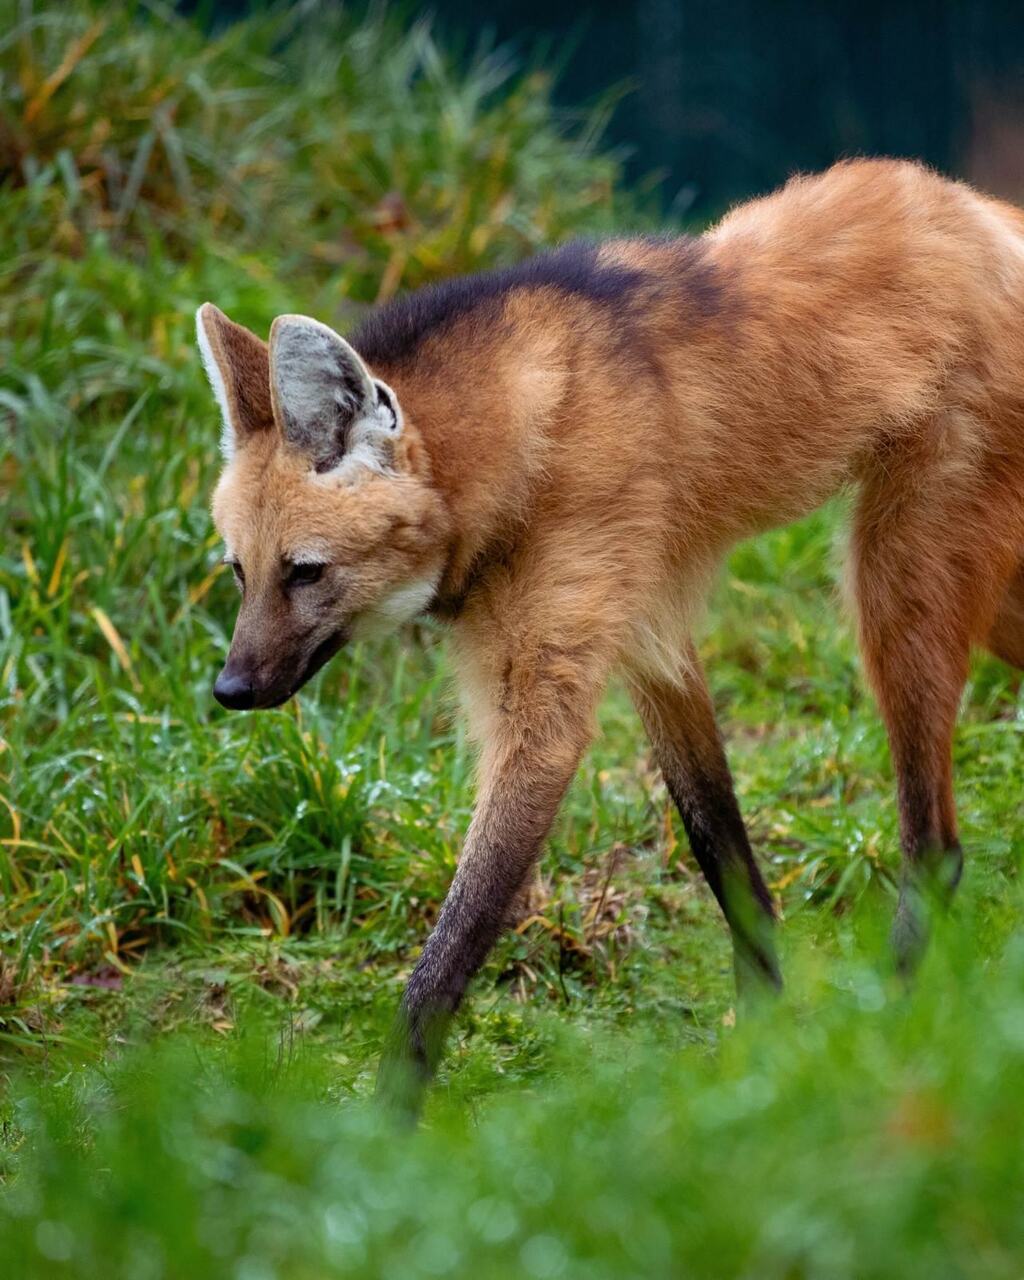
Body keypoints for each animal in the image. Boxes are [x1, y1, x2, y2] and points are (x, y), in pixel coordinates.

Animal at [197, 158, 1024, 1114]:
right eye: (239, 573)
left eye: (306, 572)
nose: (230, 690)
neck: (514, 456)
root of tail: (990, 214)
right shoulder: (649, 634)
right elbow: (723, 853)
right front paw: (766, 1041)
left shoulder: (549, 700)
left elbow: (445, 956)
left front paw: (383, 1127)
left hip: (897, 581)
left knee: (937, 851)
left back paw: (895, 1026)